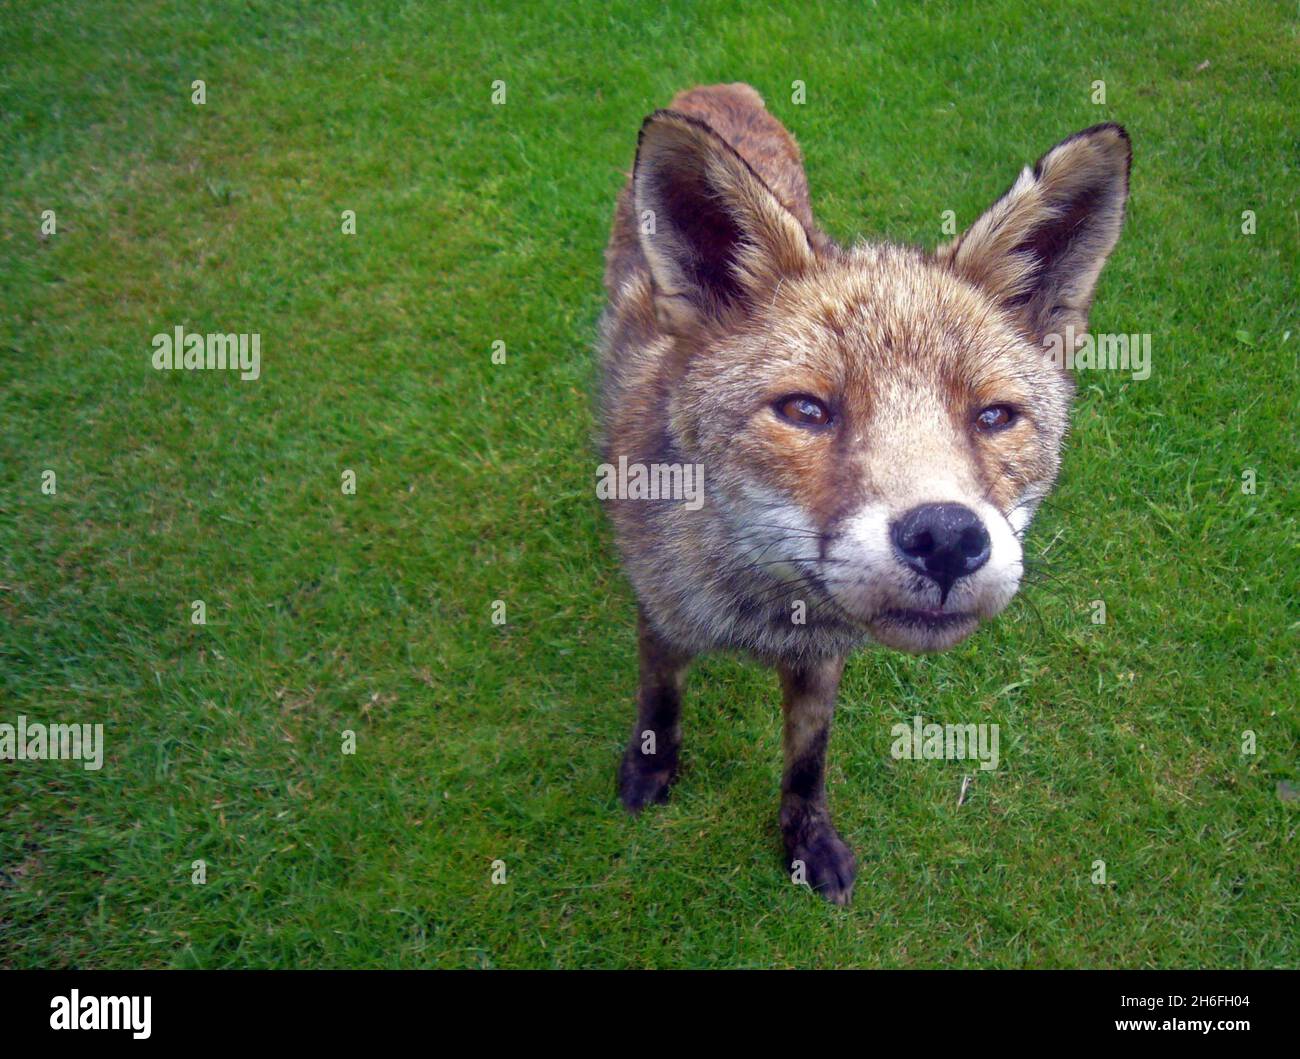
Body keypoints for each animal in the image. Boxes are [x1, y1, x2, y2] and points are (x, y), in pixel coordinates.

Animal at [597, 83, 1130, 904]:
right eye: (806, 410)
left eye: (993, 417)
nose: (948, 537)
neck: (765, 618)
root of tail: (721, 91)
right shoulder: (661, 614)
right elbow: (659, 702)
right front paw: (651, 768)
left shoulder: (823, 658)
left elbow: (807, 762)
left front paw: (806, 838)